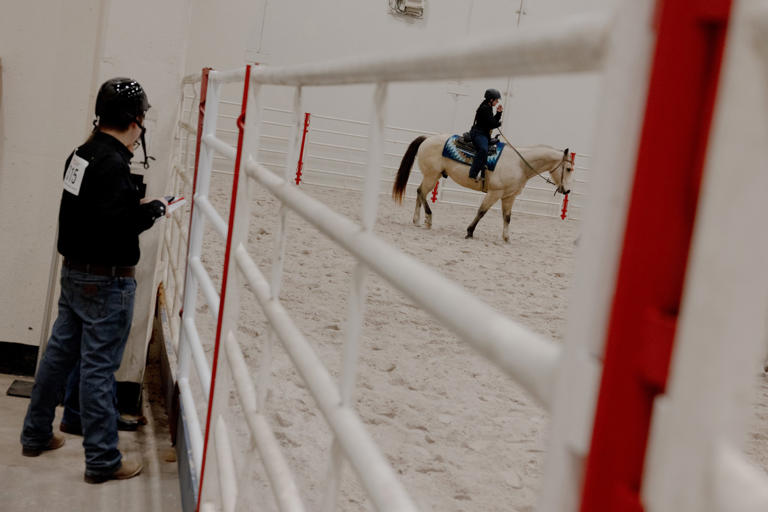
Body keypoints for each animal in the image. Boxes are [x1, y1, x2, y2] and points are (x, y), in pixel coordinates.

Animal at [392, 134, 575, 241]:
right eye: (568, 169)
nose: (567, 190)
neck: (519, 164)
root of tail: (427, 139)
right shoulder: (495, 192)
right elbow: (482, 212)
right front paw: (469, 231)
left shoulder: (509, 196)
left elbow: (507, 217)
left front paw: (506, 238)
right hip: (431, 176)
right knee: (421, 192)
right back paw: (428, 219)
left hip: (432, 176)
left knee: (419, 193)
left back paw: (417, 220)